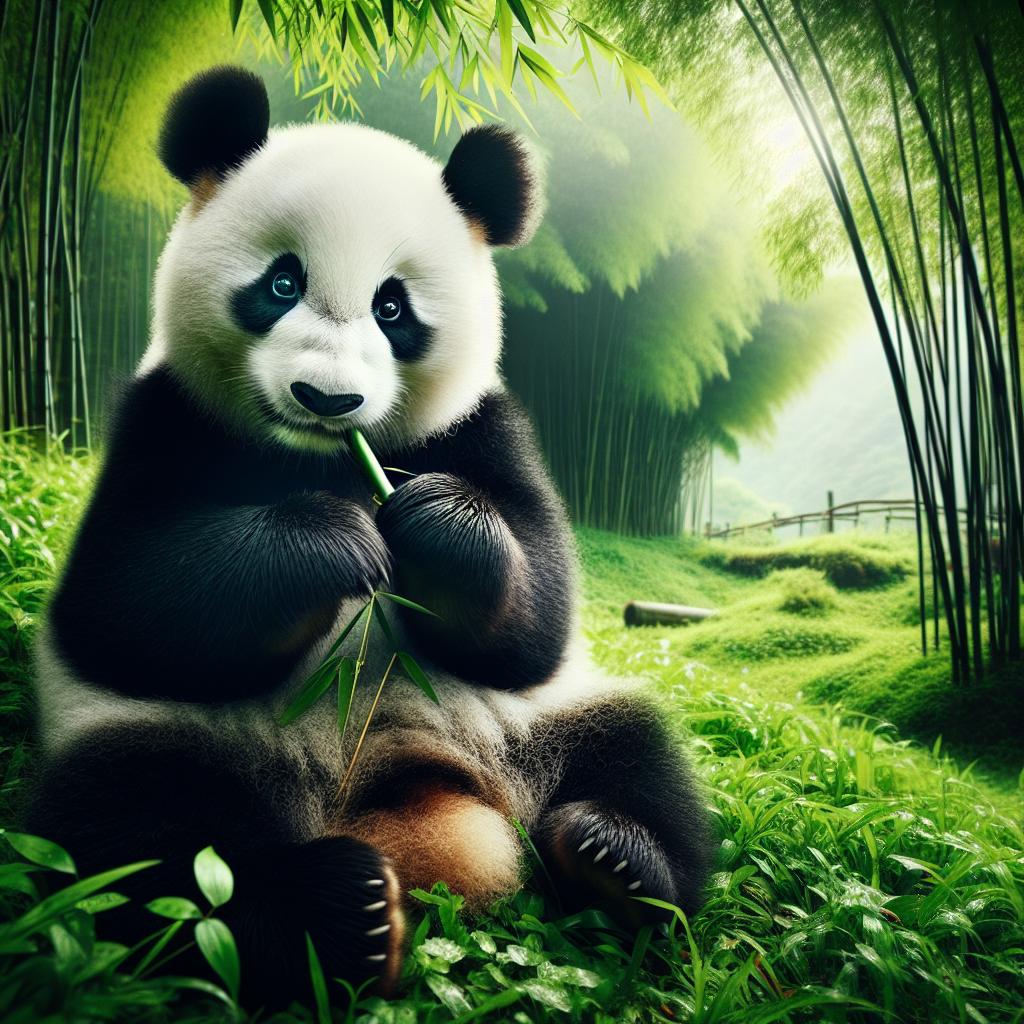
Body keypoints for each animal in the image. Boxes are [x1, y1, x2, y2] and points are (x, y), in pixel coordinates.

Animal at [25, 66, 711, 1005]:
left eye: (394, 307)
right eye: (281, 283)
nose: (329, 399)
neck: (320, 458)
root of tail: (401, 791)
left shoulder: (484, 425)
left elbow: (538, 618)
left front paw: (436, 530)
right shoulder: (166, 417)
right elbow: (115, 608)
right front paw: (324, 547)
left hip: (545, 719)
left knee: (638, 754)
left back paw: (618, 860)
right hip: (185, 743)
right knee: (145, 839)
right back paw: (337, 917)